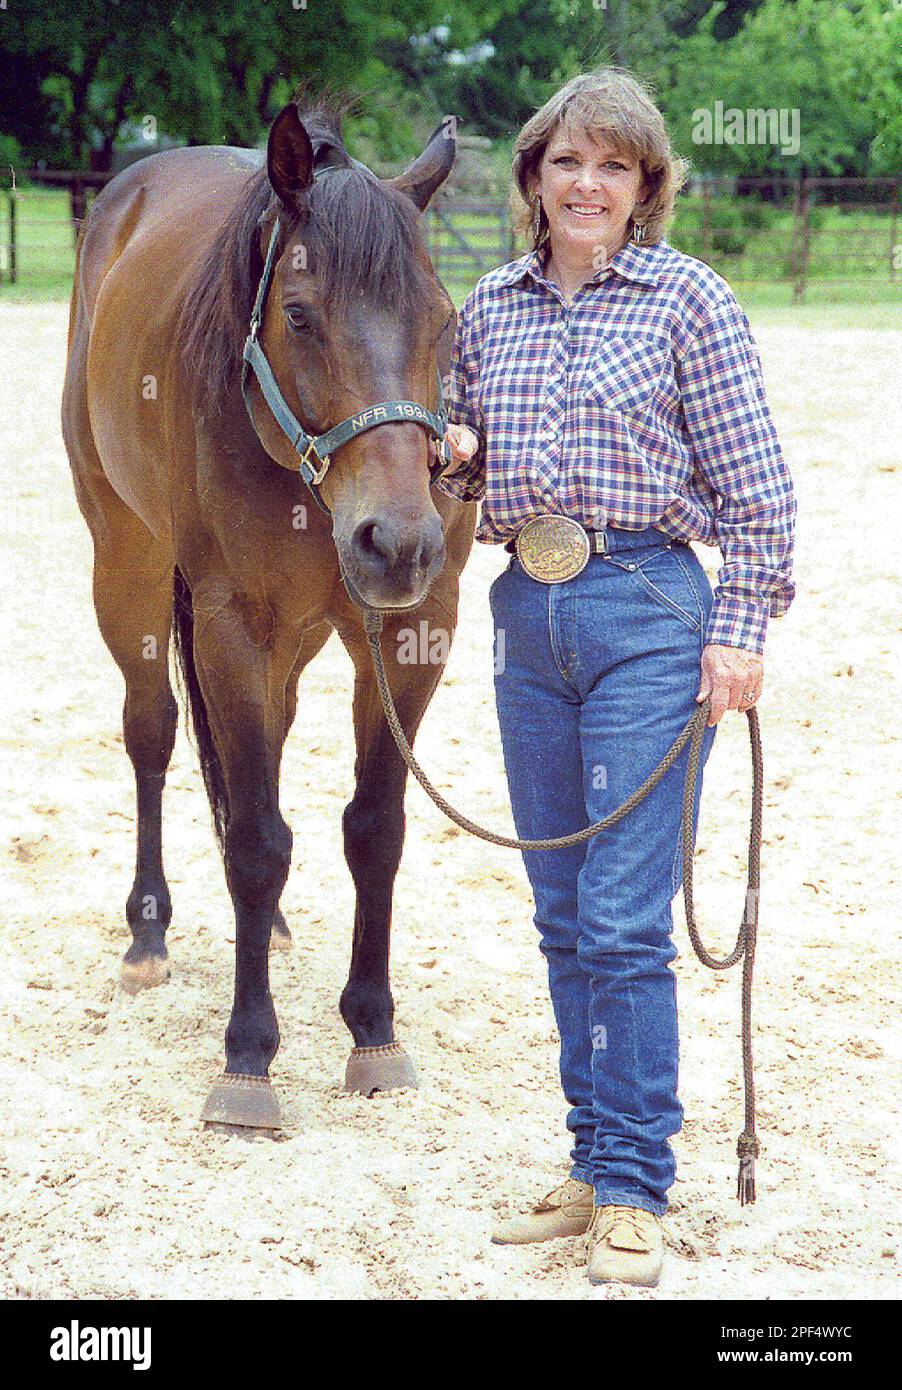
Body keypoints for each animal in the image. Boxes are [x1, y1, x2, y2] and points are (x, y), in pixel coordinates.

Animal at [60, 94, 475, 1129]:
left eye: (445, 320)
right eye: (298, 314)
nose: (398, 542)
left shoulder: (408, 638)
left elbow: (373, 829)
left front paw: (374, 1030)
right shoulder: (232, 633)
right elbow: (253, 841)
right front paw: (248, 1058)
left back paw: (276, 925)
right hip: (127, 564)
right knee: (153, 731)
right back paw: (148, 936)